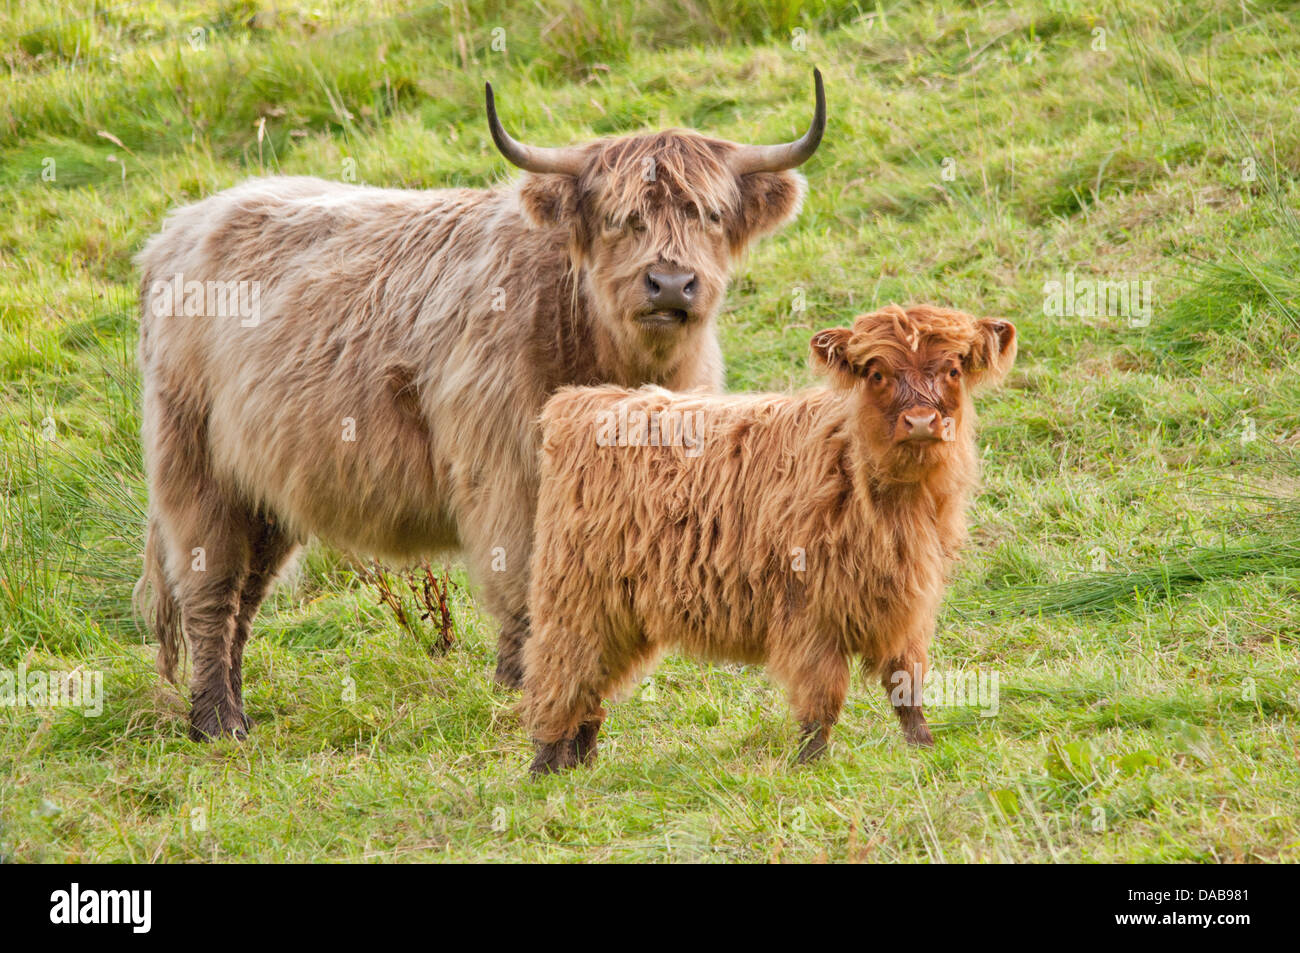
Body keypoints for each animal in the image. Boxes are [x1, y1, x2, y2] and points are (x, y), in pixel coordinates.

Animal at [134, 71, 827, 740]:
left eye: (711, 214)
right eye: (618, 219)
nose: (671, 284)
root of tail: (181, 226)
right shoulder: (509, 476)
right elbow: (526, 583)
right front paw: (525, 690)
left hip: (265, 490)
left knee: (245, 597)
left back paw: (237, 711)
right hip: (194, 466)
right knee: (210, 591)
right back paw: (216, 722)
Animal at [520, 305, 1017, 773]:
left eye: (952, 370)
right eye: (877, 373)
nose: (920, 421)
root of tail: (584, 399)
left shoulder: (907, 607)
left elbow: (906, 687)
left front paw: (923, 749)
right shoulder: (810, 615)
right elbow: (821, 699)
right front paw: (810, 764)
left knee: (589, 689)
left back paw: (582, 764)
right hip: (576, 599)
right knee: (561, 676)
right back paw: (545, 767)